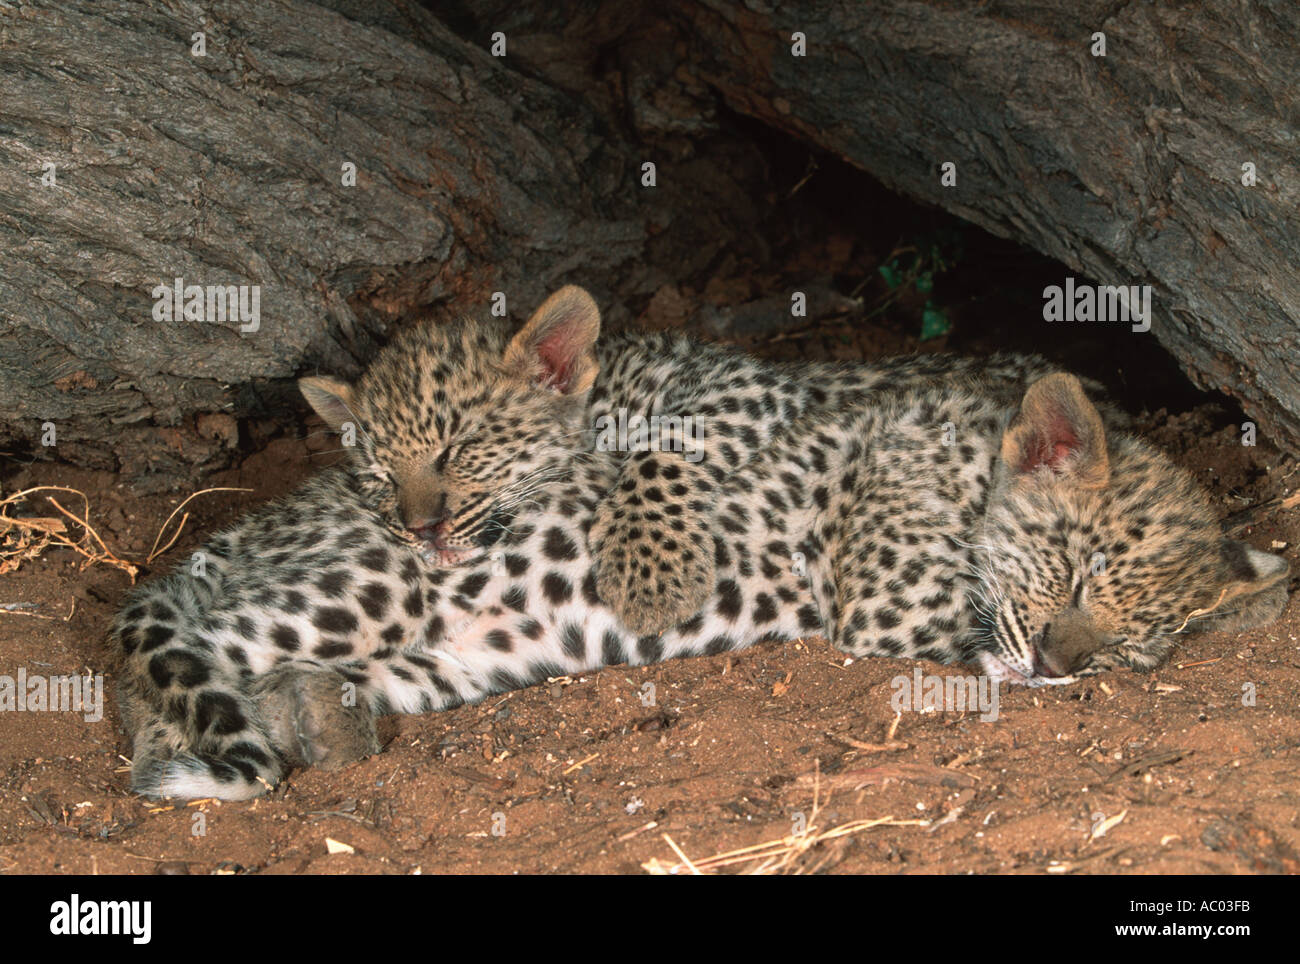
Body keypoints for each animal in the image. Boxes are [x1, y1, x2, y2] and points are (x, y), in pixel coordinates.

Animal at [111, 285, 1291, 800]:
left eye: (1139, 645)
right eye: (1075, 569)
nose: (1058, 660)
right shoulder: (889, 585)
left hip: (443, 659)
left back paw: (322, 720)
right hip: (366, 585)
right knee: (187, 653)